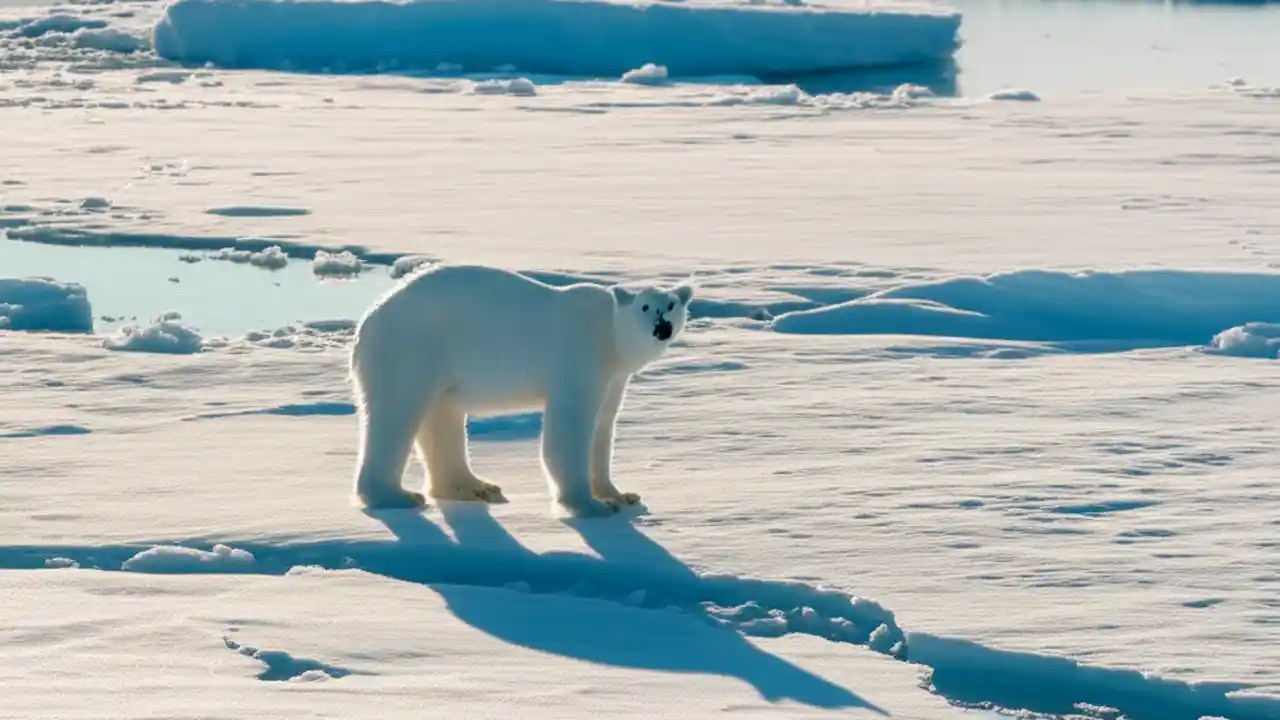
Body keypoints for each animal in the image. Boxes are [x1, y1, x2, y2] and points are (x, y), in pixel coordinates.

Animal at [349, 264, 692, 517]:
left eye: (671, 305)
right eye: (645, 306)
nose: (661, 327)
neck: (609, 335)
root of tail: (365, 323)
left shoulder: (614, 376)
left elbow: (603, 424)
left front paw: (621, 495)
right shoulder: (580, 358)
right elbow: (570, 426)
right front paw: (591, 505)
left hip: (439, 366)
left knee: (441, 416)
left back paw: (476, 487)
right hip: (410, 348)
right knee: (396, 413)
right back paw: (397, 497)